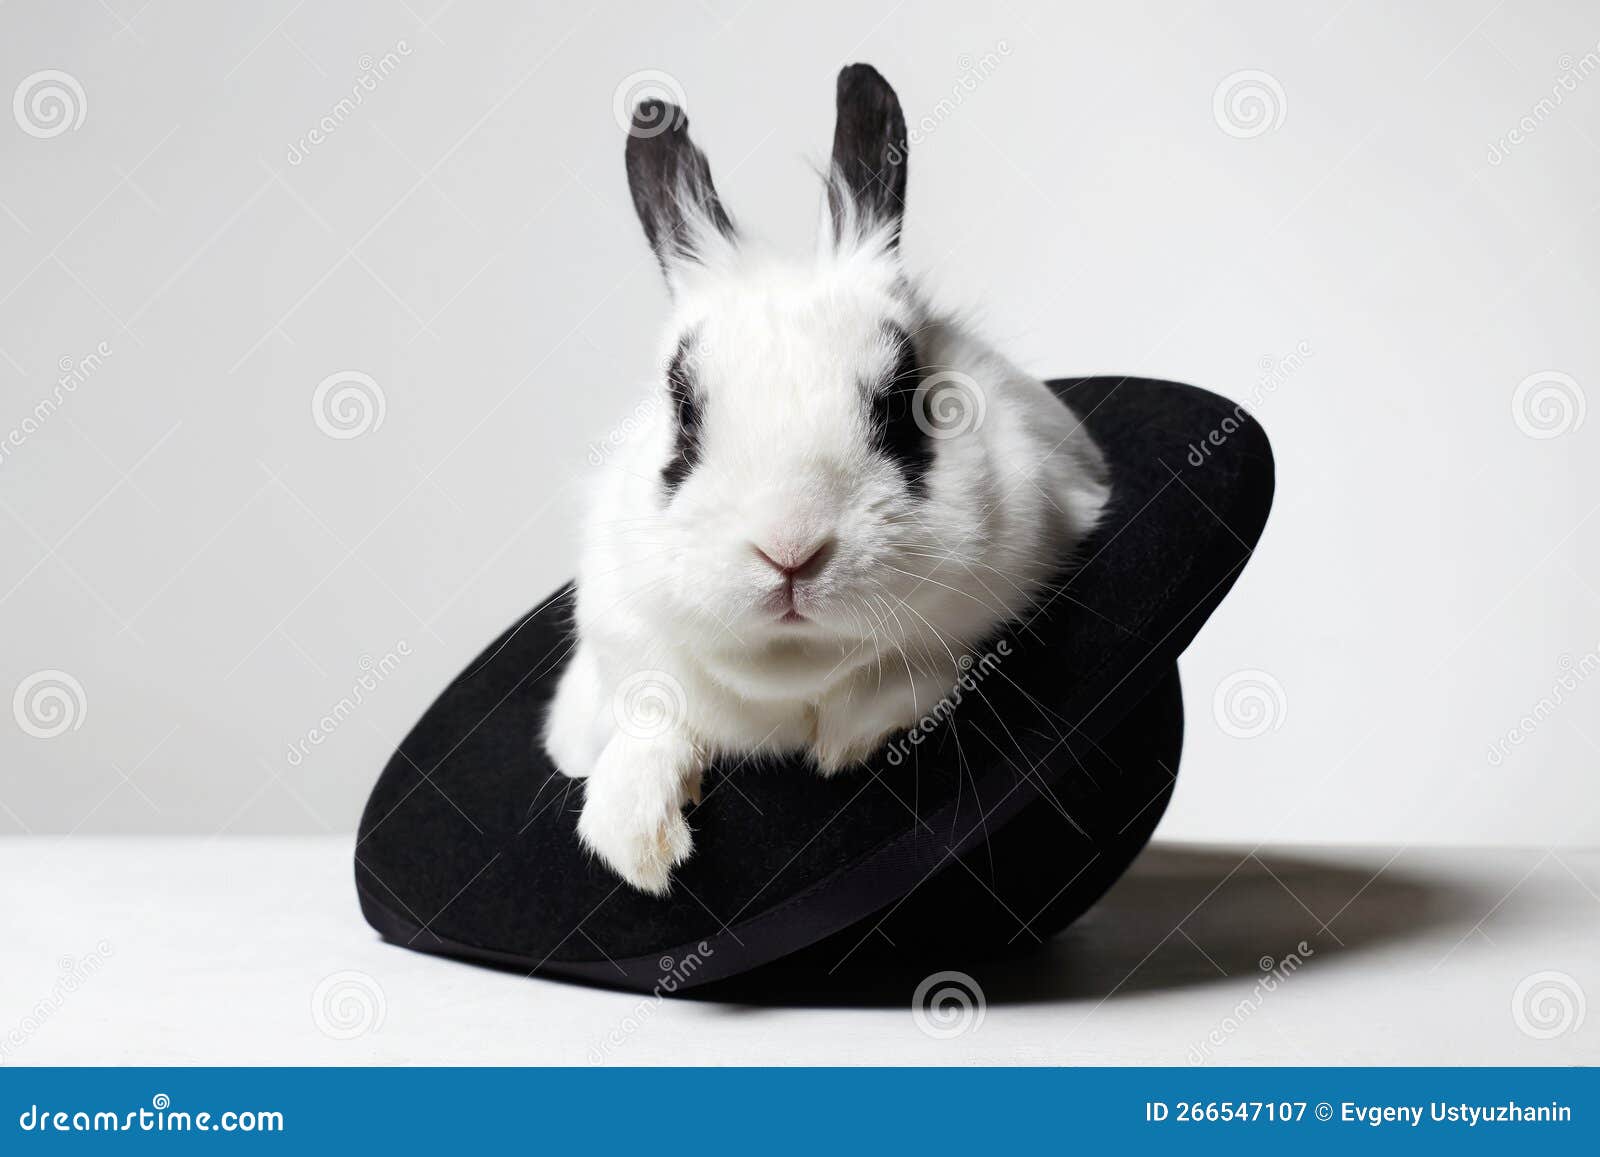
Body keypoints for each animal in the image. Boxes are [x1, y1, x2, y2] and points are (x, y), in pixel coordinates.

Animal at [543, 63, 1111, 895]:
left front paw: (853, 739)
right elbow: (652, 717)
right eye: (683, 413)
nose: (790, 550)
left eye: (905, 403)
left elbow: (920, 666)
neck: (793, 672)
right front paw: (635, 838)